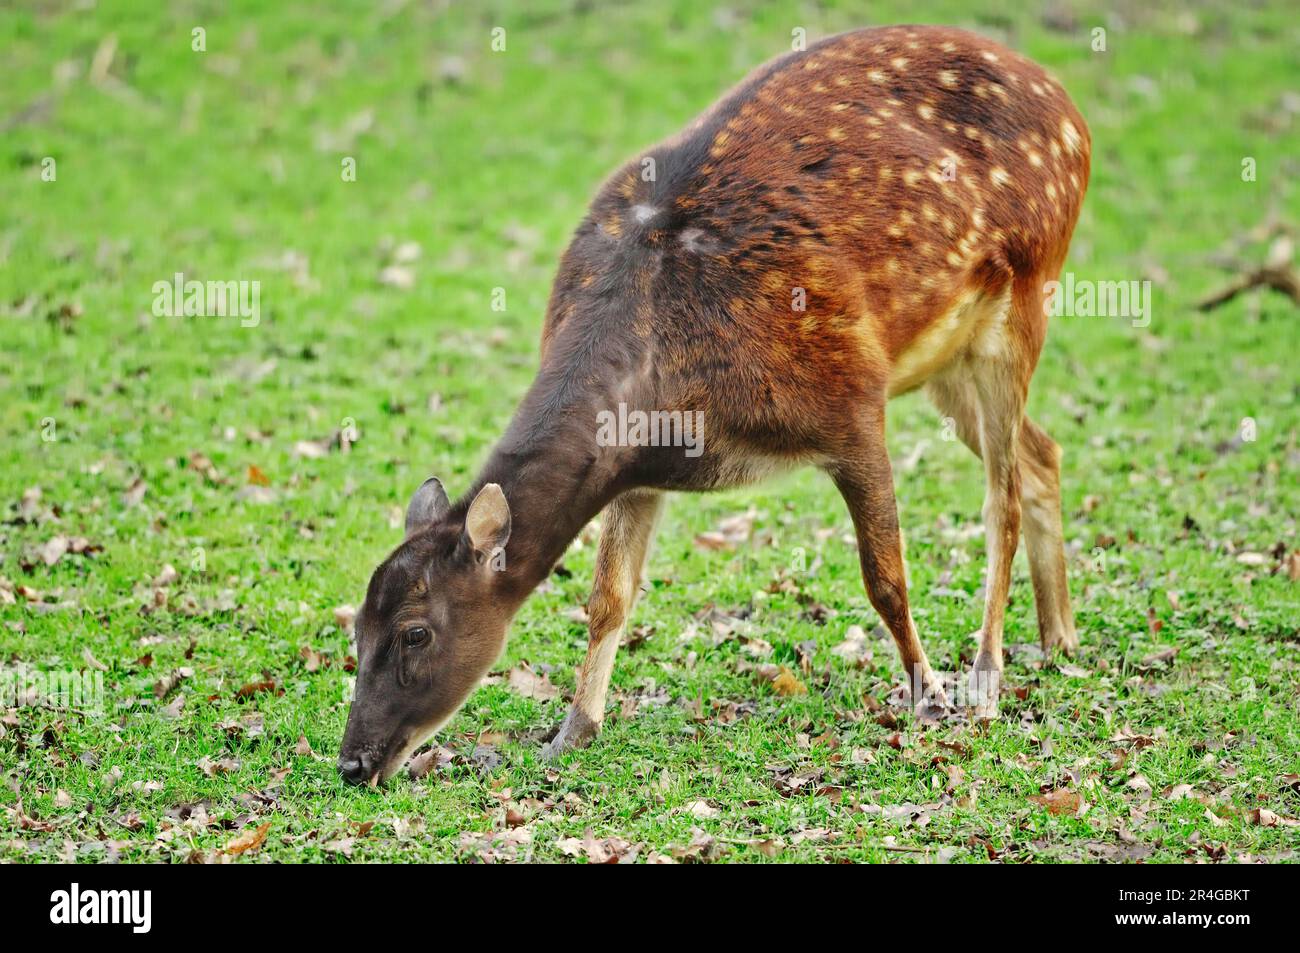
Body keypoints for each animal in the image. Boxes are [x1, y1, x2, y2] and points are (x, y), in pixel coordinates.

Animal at [337, 25, 1088, 785]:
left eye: (415, 631)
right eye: (356, 629)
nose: (352, 761)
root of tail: (1068, 105)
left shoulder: (851, 400)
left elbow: (886, 578)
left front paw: (930, 698)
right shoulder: (635, 474)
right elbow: (608, 598)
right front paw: (572, 730)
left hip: (1027, 292)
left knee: (1002, 498)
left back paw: (987, 676)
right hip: (945, 360)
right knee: (1044, 451)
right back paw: (1059, 637)